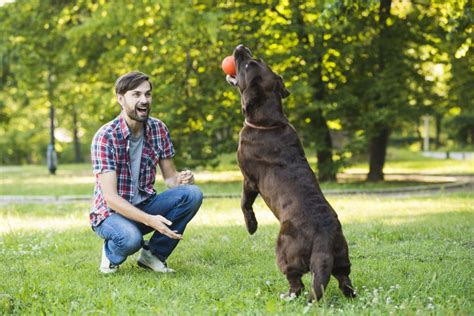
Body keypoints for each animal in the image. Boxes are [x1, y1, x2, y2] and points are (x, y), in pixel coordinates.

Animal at [227, 44, 356, 302]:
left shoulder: (249, 180)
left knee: (297, 282)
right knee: (344, 279)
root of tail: (324, 237)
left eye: (247, 64)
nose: (241, 47)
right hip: (342, 255)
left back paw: (287, 295)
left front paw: (251, 226)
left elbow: (244, 203)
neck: (268, 122)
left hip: (285, 249)